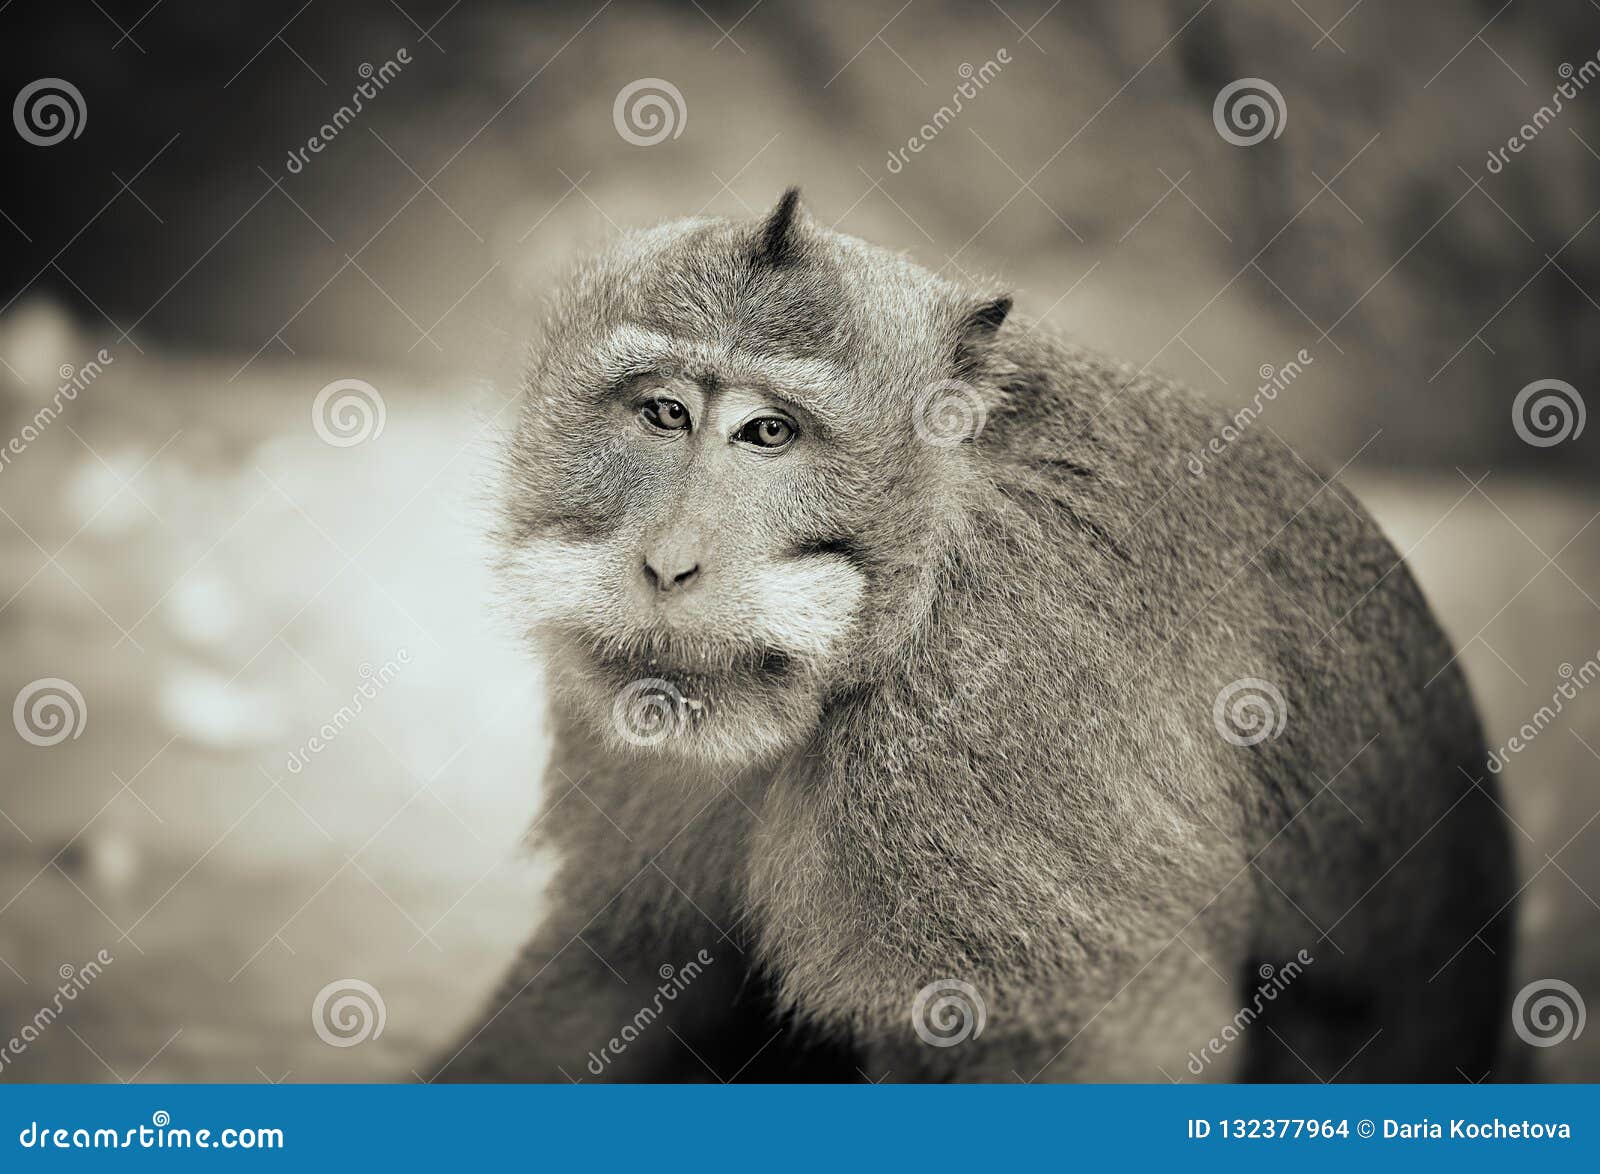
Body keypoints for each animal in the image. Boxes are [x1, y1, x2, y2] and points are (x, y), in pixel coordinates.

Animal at [433, 188, 1515, 1083]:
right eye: (664, 413)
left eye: (768, 434)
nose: (667, 564)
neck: (922, 575)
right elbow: (625, 965)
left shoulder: (991, 713)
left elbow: (1102, 1038)